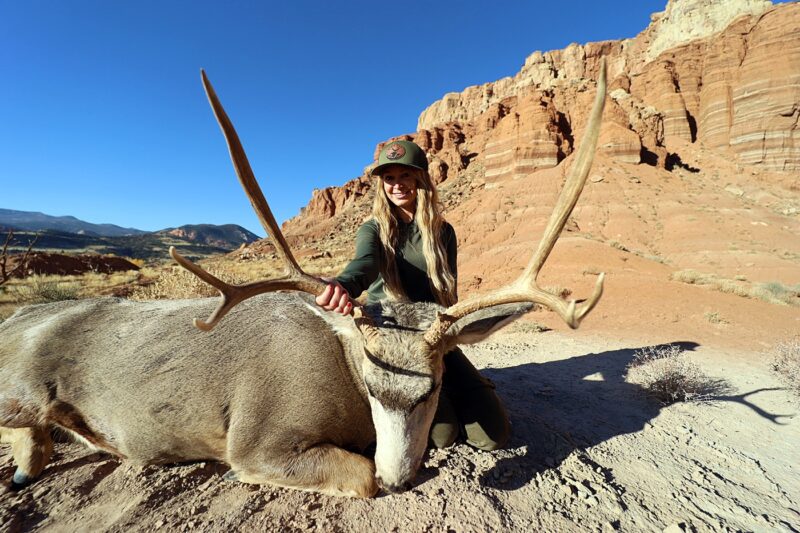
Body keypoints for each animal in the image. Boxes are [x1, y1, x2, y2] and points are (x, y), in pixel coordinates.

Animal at [0, 60, 606, 498]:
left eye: (433, 389)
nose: (398, 479)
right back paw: (30, 464)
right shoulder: (256, 440)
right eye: (371, 386)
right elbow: (358, 476)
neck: (343, 373)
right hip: (21, 387)